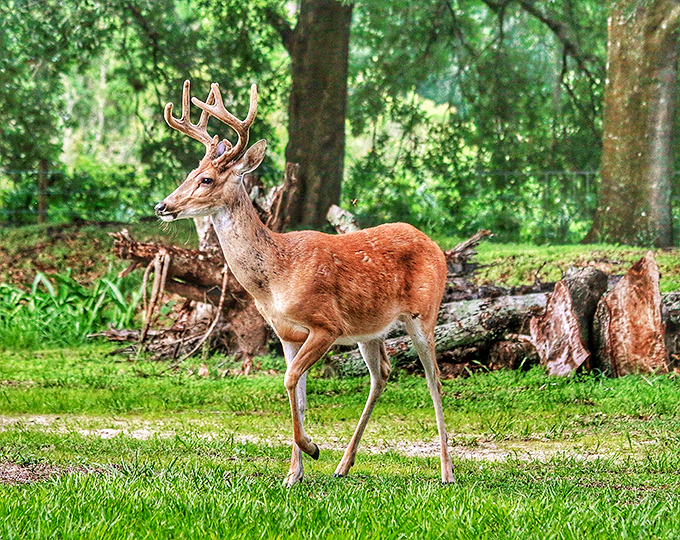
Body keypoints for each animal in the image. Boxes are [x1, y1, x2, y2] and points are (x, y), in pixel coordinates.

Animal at [154, 80, 454, 487]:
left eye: (206, 179)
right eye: (190, 172)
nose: (162, 206)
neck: (275, 277)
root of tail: (436, 246)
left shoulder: (326, 324)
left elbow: (288, 379)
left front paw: (311, 449)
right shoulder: (287, 333)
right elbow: (296, 392)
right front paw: (293, 474)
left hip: (425, 312)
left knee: (434, 378)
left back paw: (446, 471)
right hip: (369, 330)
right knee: (382, 375)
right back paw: (344, 465)